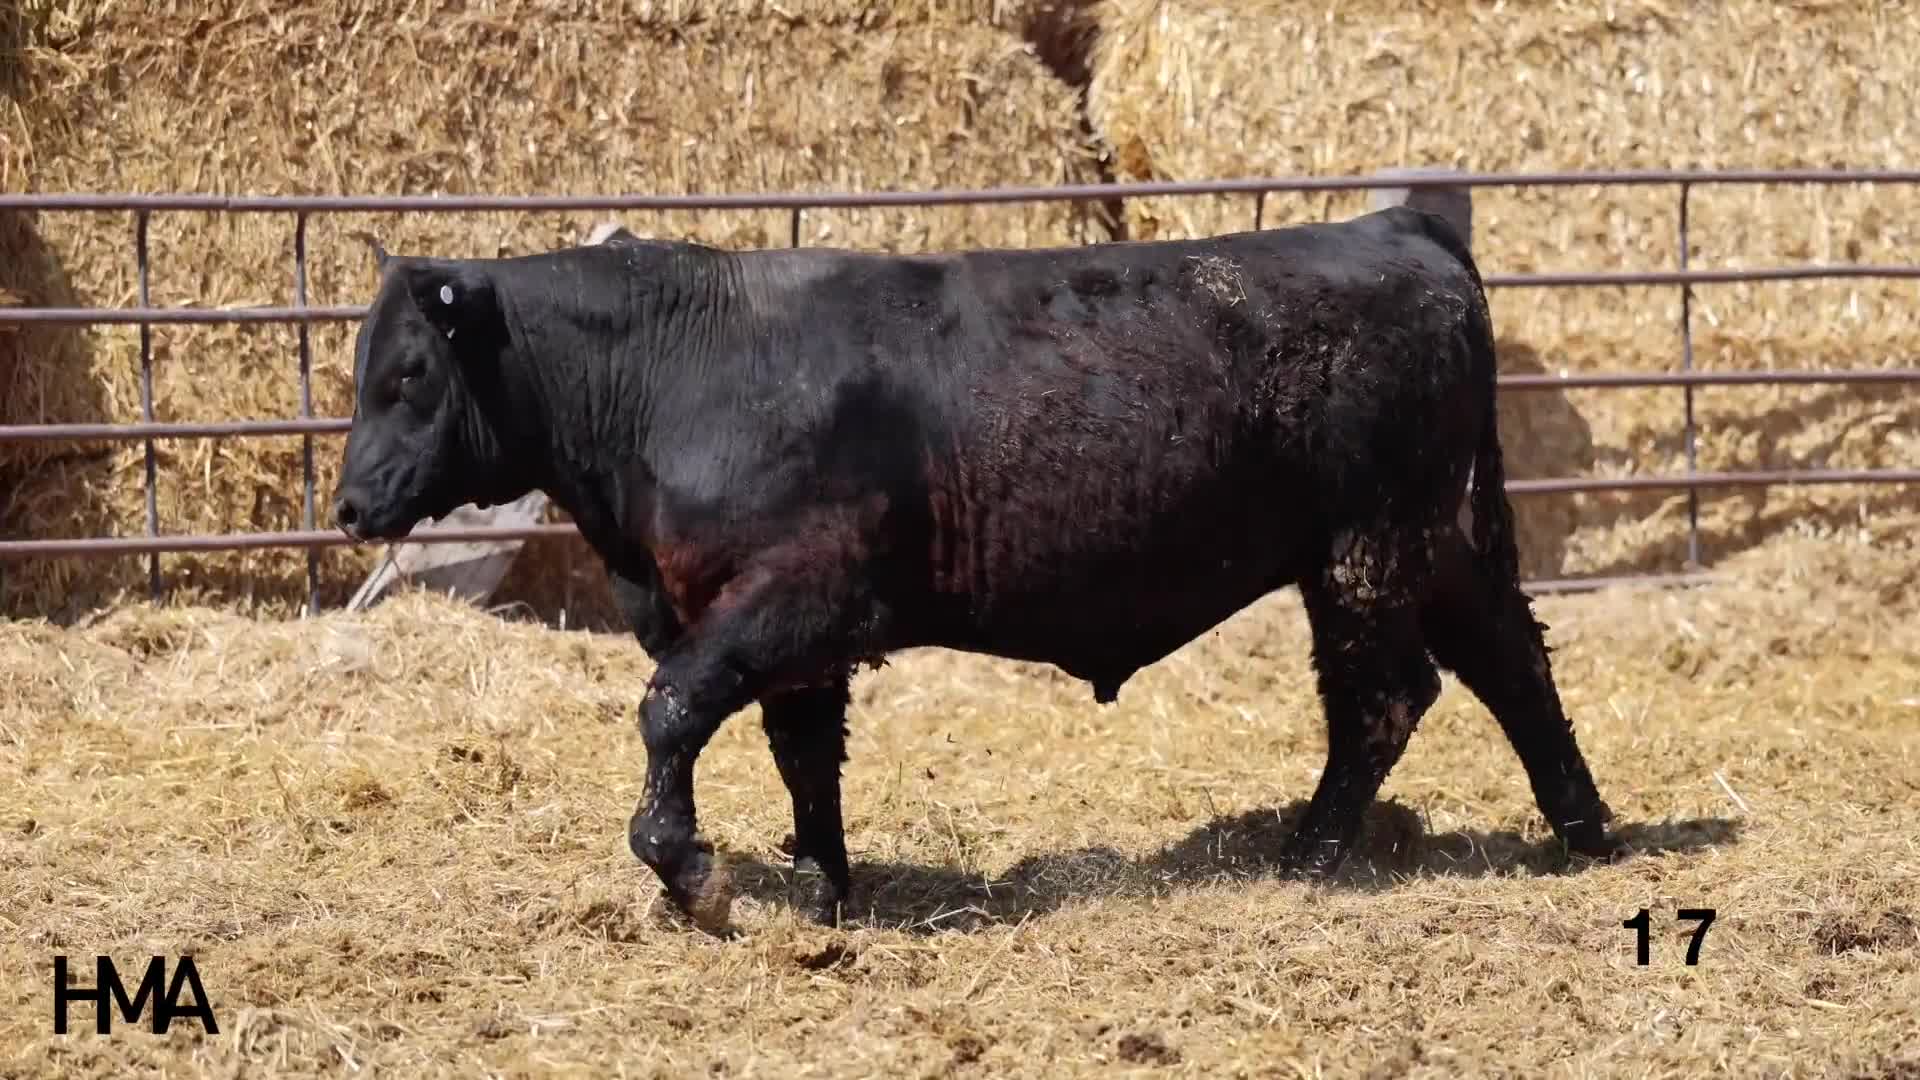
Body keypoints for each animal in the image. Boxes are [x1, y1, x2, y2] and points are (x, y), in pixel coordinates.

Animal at [330, 207, 1623, 932]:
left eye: (409, 375)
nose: (349, 505)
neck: (686, 368)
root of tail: (1398, 232)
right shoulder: (786, 638)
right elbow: (803, 761)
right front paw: (829, 890)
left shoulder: (795, 599)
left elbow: (670, 712)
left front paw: (691, 873)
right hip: (1423, 544)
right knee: (1511, 661)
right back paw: (1587, 831)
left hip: (1367, 549)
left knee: (1389, 697)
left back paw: (1308, 855)